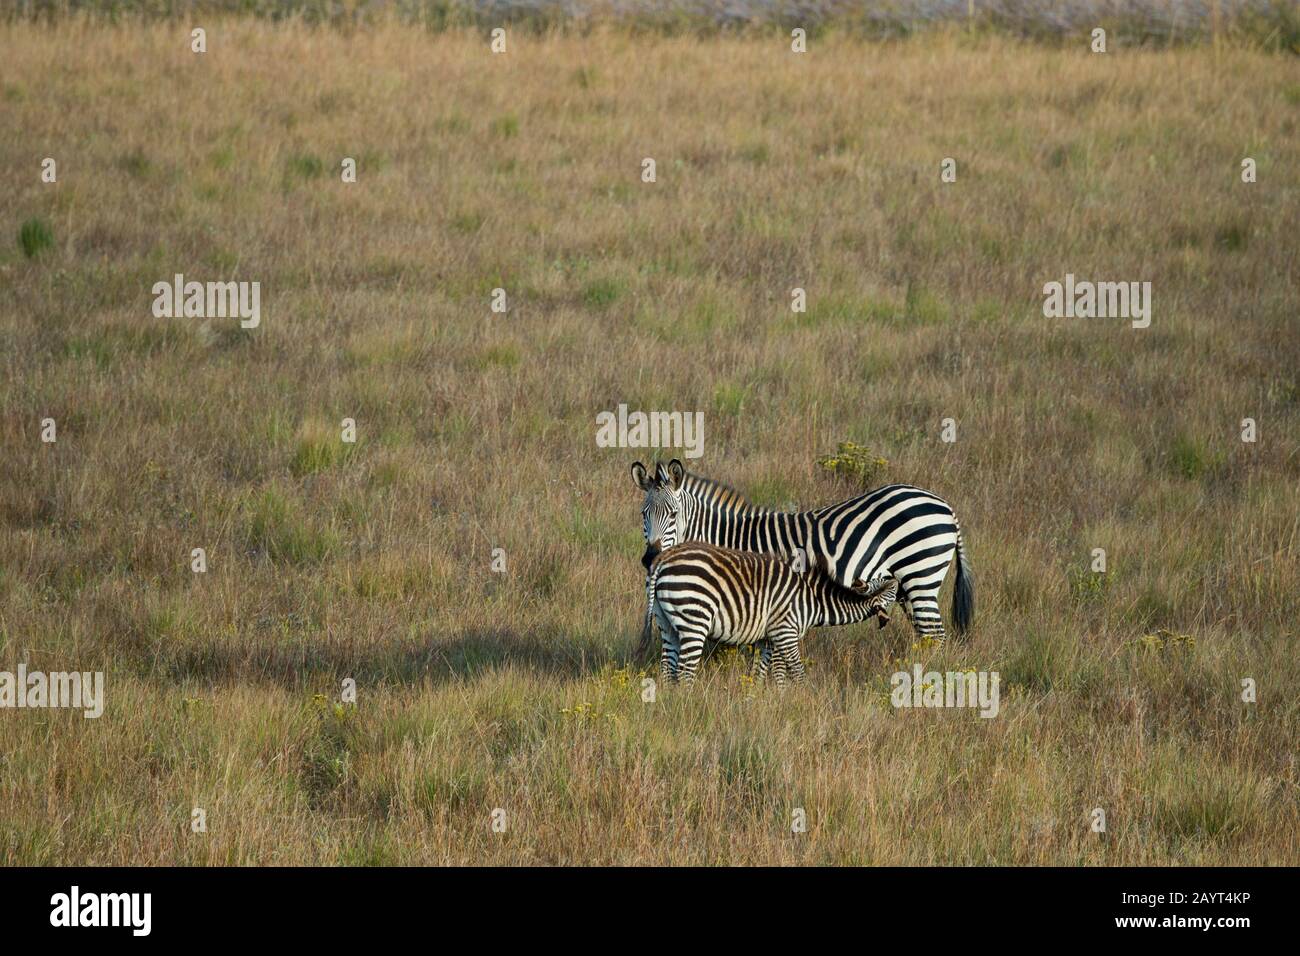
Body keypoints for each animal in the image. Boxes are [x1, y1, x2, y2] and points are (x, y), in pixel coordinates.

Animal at [632, 459, 973, 653]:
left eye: (674, 514)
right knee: (927, 635)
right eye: (643, 514)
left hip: (920, 576)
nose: (650, 559)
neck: (728, 538)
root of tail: (946, 507)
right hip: (906, 587)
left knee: (936, 636)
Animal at [648, 542, 896, 685]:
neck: (813, 601)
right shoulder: (785, 631)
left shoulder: (768, 639)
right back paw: (690, 703)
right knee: (684, 671)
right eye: (894, 592)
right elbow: (794, 672)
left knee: (667, 667)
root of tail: (664, 558)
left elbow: (763, 673)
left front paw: (759, 703)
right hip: (695, 620)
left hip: (667, 623)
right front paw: (800, 703)